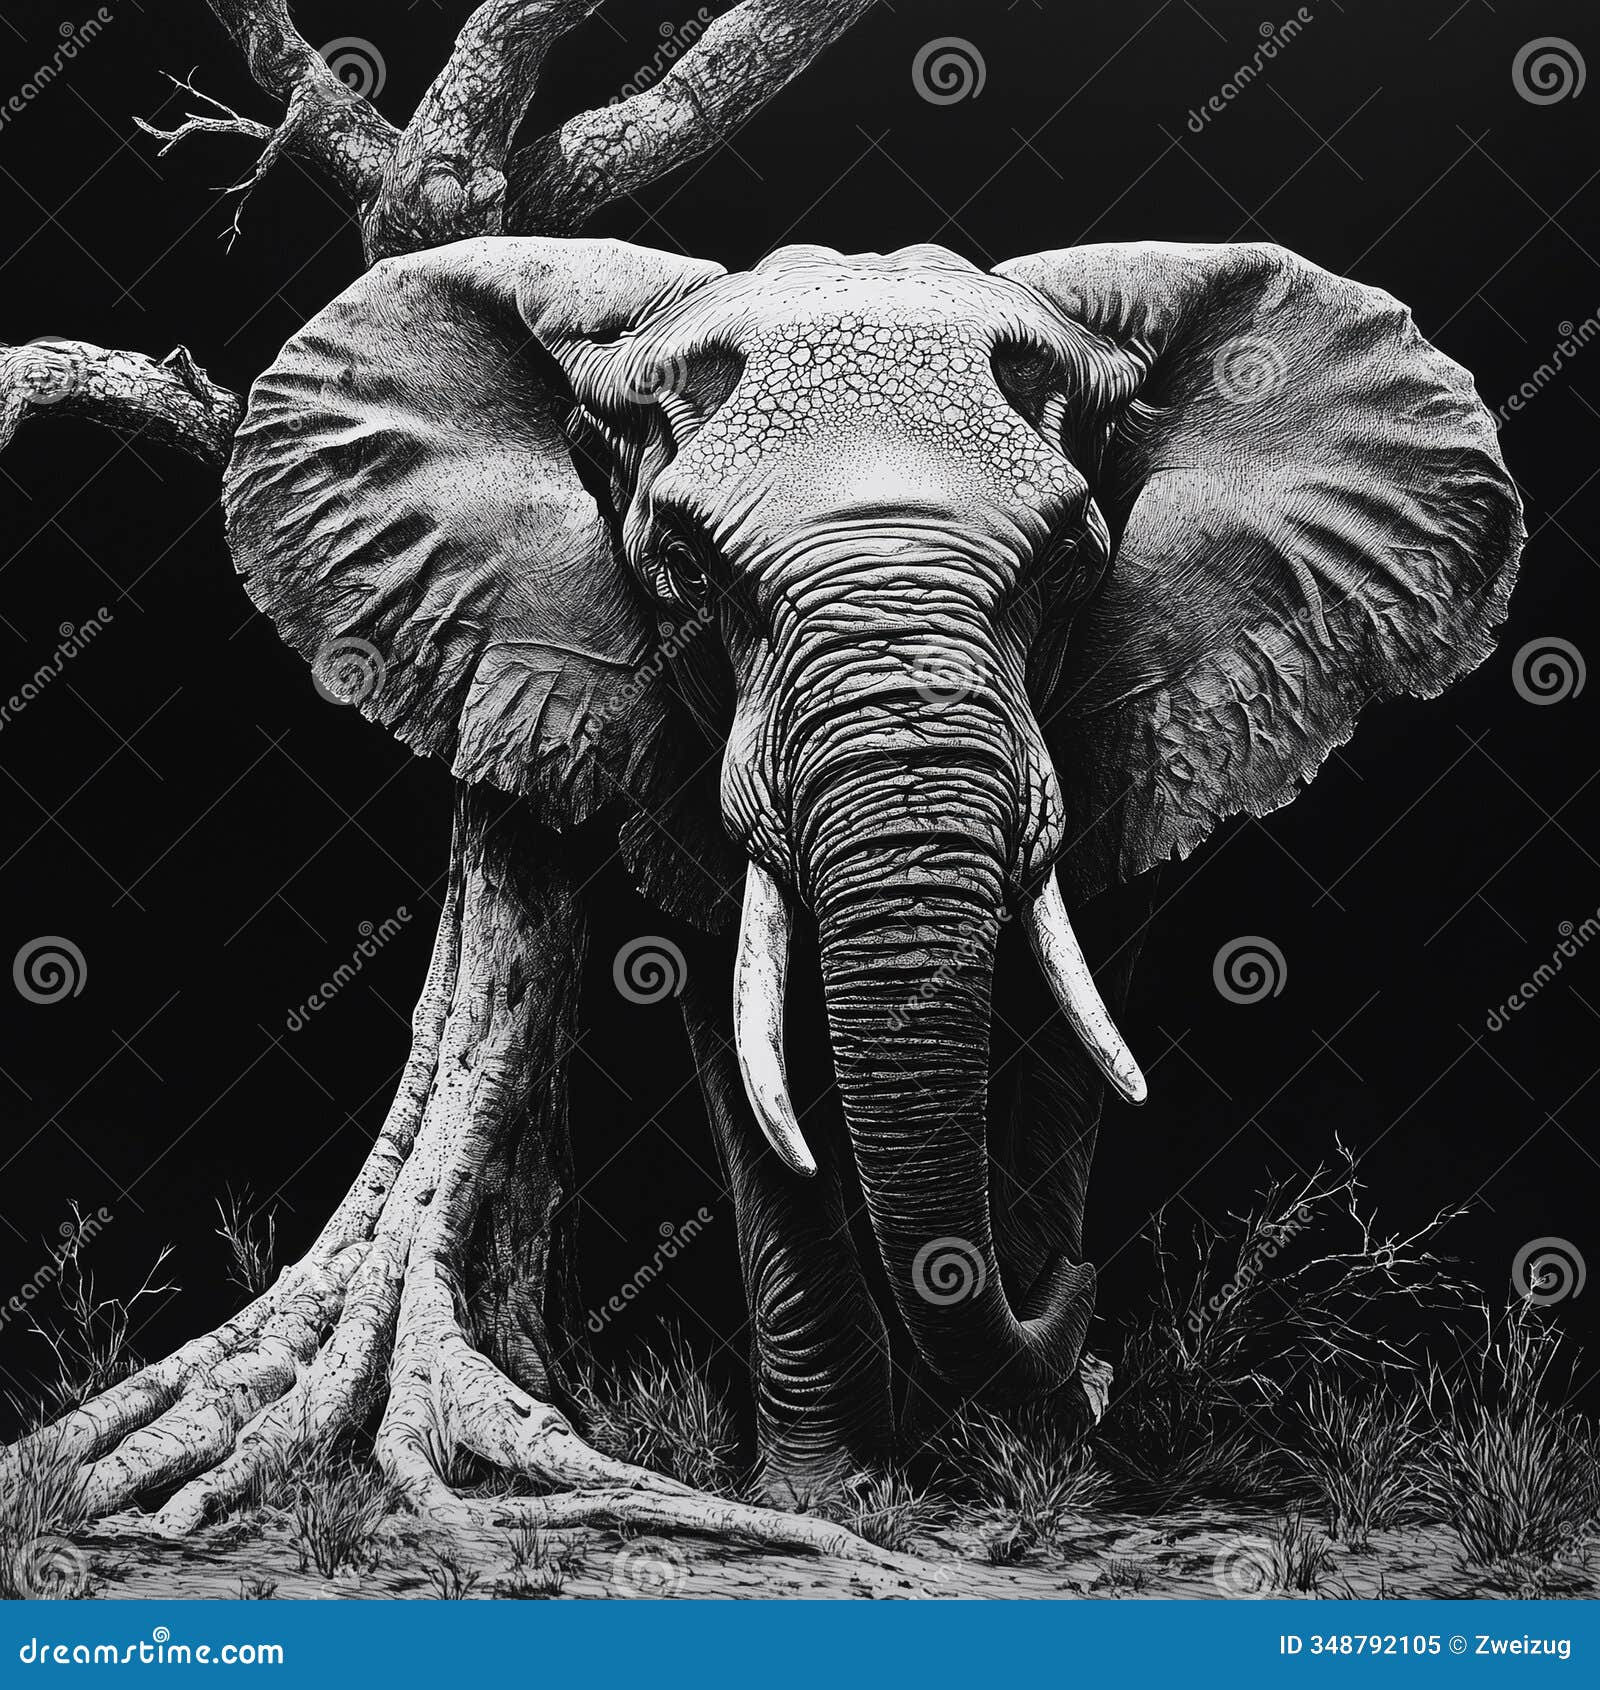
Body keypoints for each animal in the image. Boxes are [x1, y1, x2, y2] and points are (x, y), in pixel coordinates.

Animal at [222, 236, 1523, 1497]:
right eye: (689, 574)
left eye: (1068, 562)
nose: (1084, 1300)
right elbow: (742, 1041)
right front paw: (827, 1495)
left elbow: (1070, 1028)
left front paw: (1026, 1470)